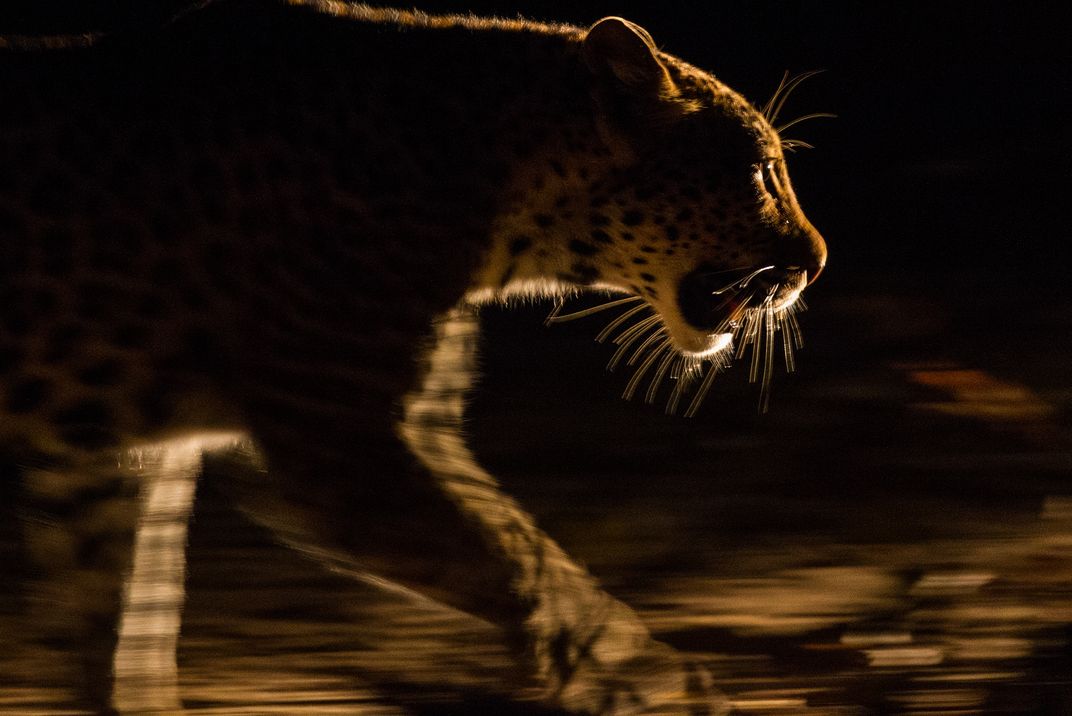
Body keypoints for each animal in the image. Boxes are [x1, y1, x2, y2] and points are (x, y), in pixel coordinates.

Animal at [0, 0, 827, 713]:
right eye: (762, 171)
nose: (817, 264)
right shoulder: (348, 444)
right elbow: (534, 572)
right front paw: (650, 685)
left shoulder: (117, 458)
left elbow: (122, 624)